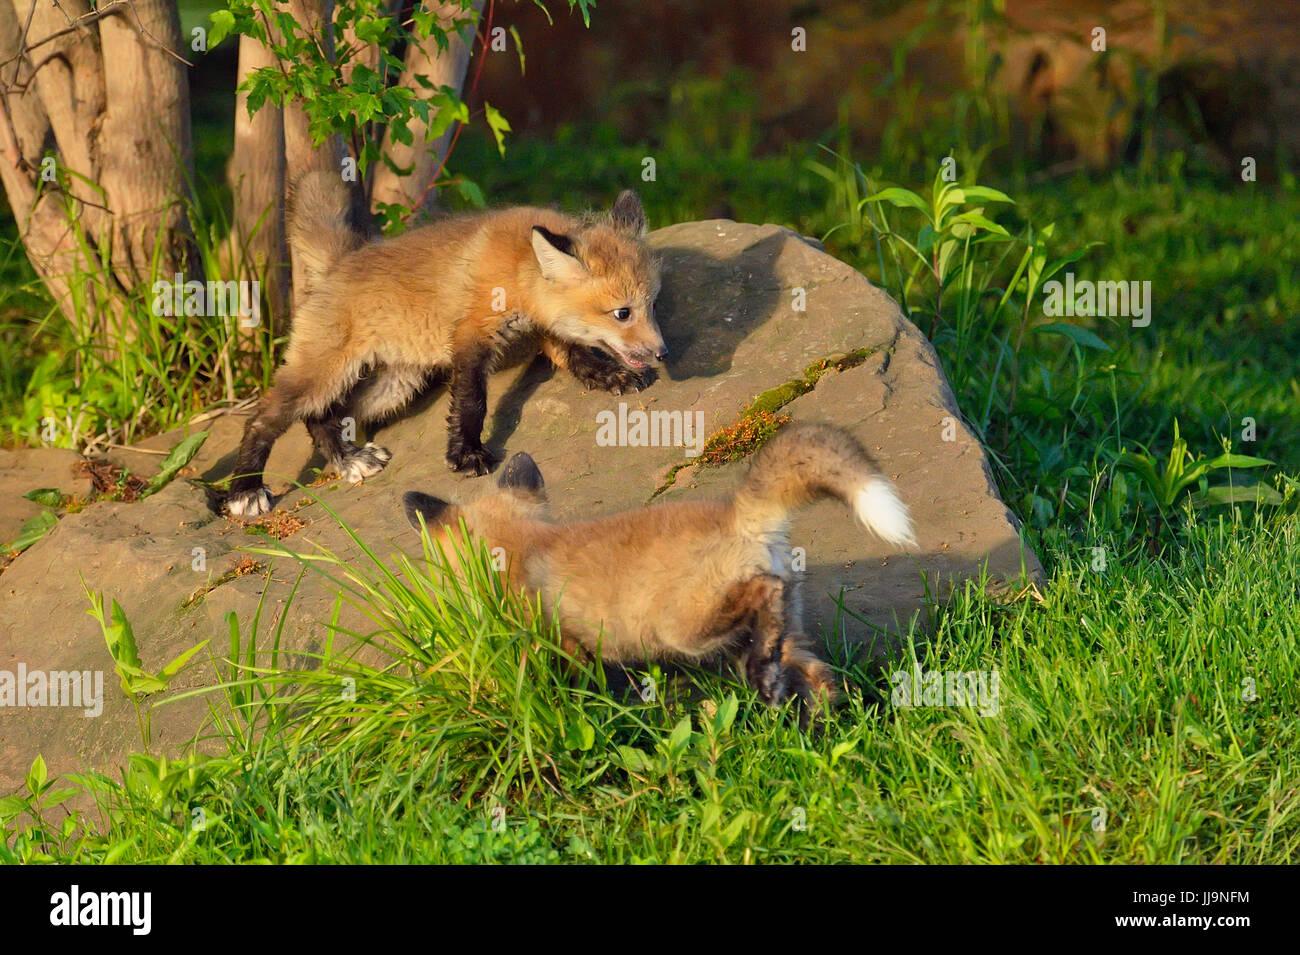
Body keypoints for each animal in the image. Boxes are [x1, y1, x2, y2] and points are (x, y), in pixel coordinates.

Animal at [226, 171, 667, 517]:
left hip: (393, 386)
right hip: (326, 372)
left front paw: (610, 375)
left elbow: (576, 354)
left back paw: (349, 459)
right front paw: (466, 453)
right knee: (265, 417)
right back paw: (245, 489)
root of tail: (342, 262)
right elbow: (472, 401)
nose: (663, 352)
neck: (521, 267)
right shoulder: (473, 333)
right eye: (622, 313)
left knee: (321, 417)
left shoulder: (542, 326)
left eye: (652, 304)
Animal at [402, 424, 917, 714]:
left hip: (685, 628)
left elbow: (575, 689)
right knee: (814, 675)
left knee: (765, 591)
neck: (521, 546)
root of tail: (737, 513)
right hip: (775, 636)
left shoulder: (562, 645)